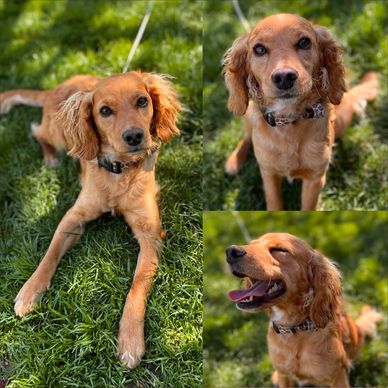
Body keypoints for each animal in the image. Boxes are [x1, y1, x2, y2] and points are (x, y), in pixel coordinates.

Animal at [0, 70, 181, 370]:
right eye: (105, 111)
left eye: (142, 101)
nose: (135, 136)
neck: (119, 171)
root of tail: (56, 87)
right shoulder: (73, 218)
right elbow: (49, 255)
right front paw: (29, 291)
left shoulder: (150, 235)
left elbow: (137, 286)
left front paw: (130, 341)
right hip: (57, 133)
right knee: (37, 131)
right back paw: (50, 158)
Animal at [223, 13, 378, 209]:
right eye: (259, 49)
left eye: (304, 42)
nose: (284, 77)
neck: (289, 120)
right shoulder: (268, 173)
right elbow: (274, 203)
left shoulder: (315, 178)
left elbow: (309, 207)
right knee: (247, 135)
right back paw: (234, 161)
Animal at [226, 233, 380, 388]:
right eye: (251, 244)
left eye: (280, 250)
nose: (231, 251)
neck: (294, 329)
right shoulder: (284, 375)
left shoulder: (338, 377)